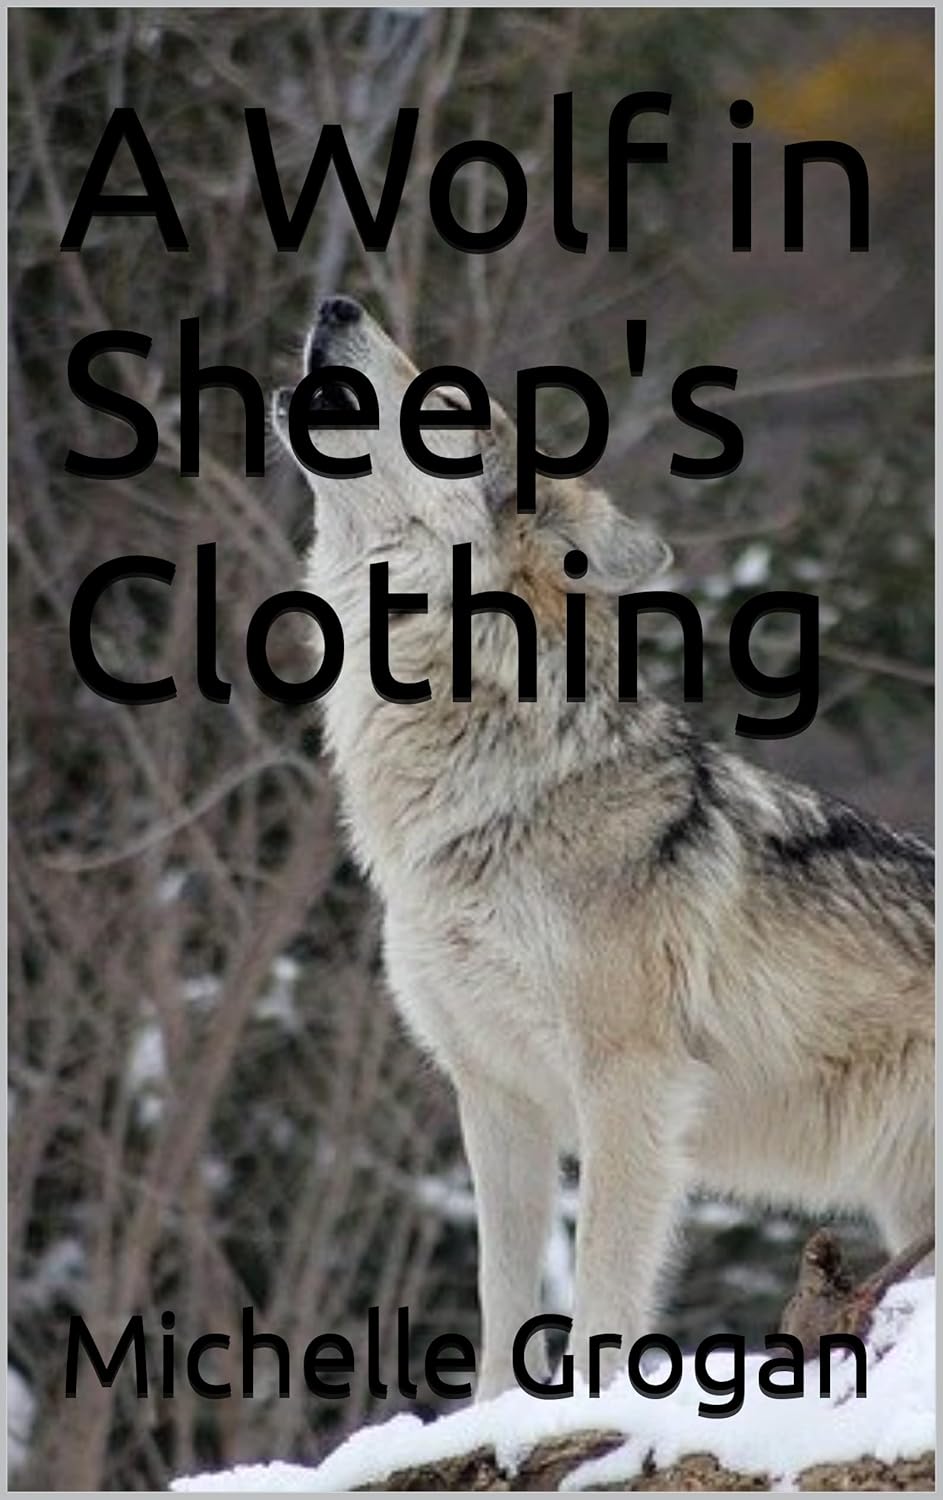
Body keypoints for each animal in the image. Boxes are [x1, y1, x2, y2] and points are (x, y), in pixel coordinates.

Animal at [274, 295, 933, 1400]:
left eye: (451, 405)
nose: (337, 304)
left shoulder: (628, 1084)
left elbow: (602, 1292)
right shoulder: (495, 1096)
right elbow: (503, 1302)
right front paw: (493, 1419)